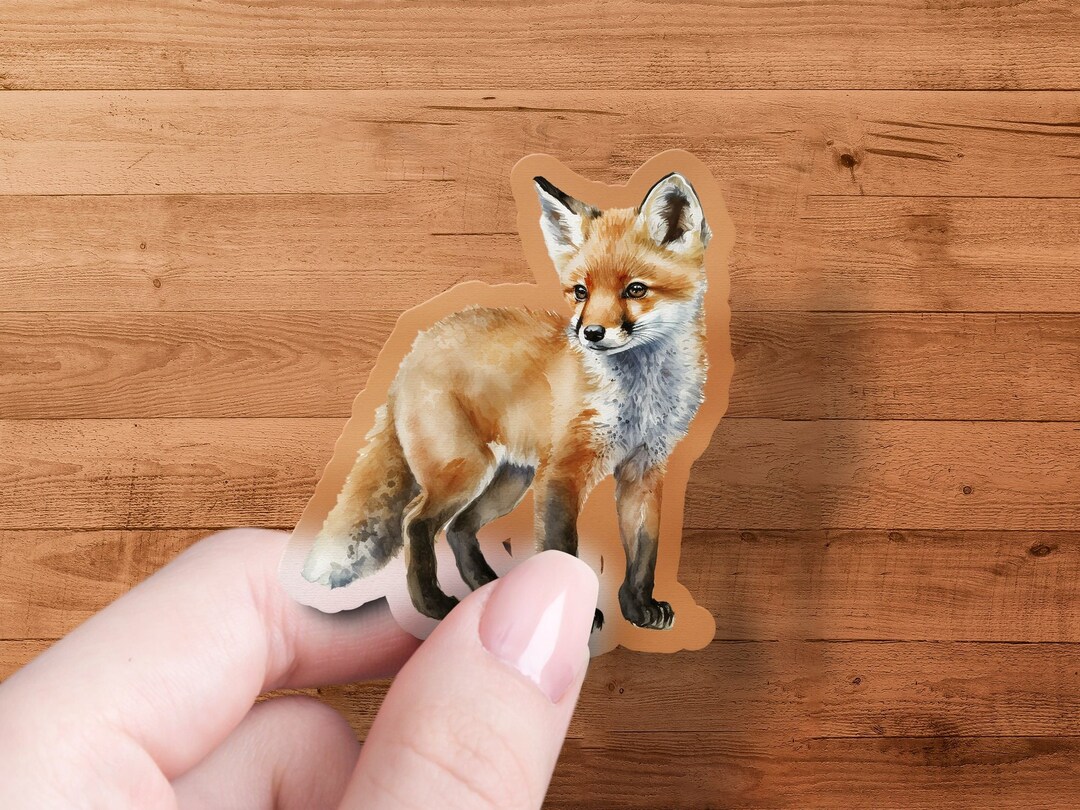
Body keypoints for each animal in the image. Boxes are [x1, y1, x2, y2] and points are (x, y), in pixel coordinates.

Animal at [301, 171, 711, 630]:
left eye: (635, 289)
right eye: (580, 292)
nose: (590, 334)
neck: (641, 395)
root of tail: (415, 347)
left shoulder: (645, 468)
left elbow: (644, 552)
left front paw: (639, 608)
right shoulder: (563, 470)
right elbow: (560, 547)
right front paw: (574, 614)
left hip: (509, 480)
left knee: (459, 529)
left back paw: (487, 587)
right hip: (465, 470)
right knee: (417, 523)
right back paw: (434, 604)